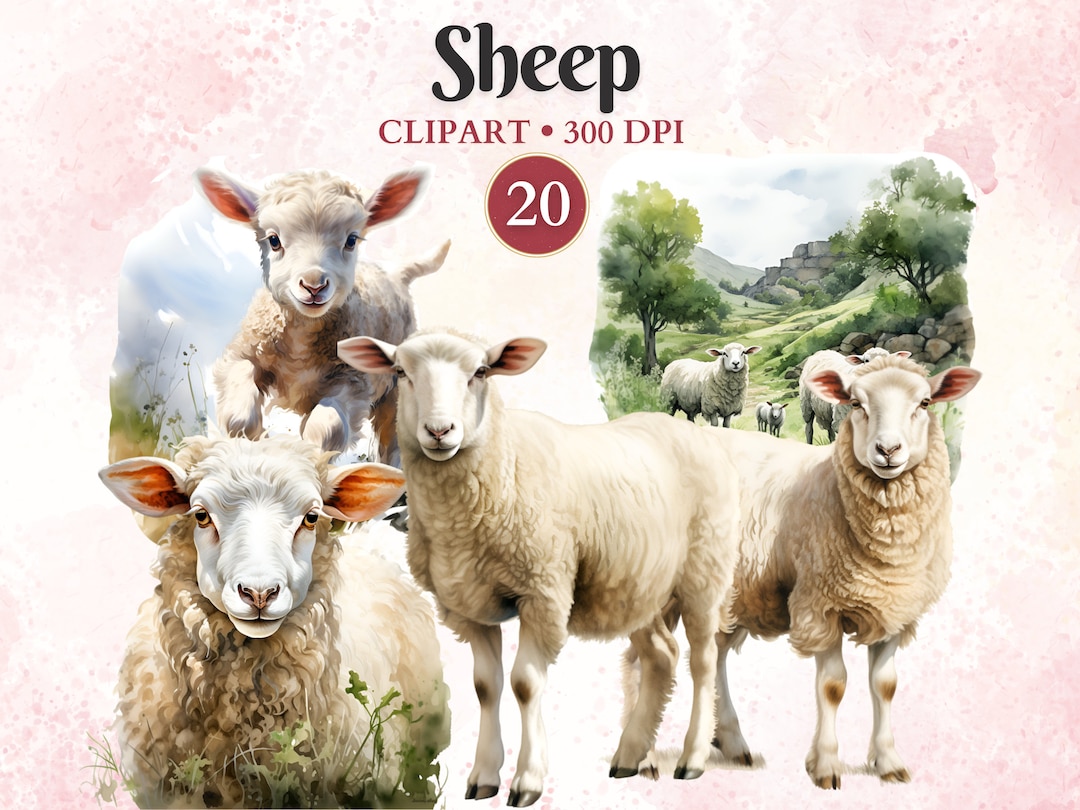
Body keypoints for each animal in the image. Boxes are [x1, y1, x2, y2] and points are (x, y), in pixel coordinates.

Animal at [196, 165, 450, 464]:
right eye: (274, 240)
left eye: (351, 240)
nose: (313, 285)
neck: (300, 345)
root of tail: (396, 273)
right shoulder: (245, 352)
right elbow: (239, 416)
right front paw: (254, 441)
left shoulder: (352, 380)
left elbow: (327, 427)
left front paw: (307, 457)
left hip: (394, 387)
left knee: (394, 441)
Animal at [338, 328, 742, 807]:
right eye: (401, 372)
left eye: (480, 372)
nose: (439, 431)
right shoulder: (468, 606)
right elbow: (486, 686)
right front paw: (483, 777)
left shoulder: (543, 591)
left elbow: (525, 684)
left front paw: (528, 780)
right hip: (638, 585)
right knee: (663, 655)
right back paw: (628, 755)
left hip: (704, 573)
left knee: (703, 661)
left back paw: (692, 758)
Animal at [673, 354, 980, 789]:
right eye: (855, 403)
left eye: (924, 403)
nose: (888, 450)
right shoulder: (821, 605)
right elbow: (833, 686)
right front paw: (826, 765)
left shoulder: (895, 607)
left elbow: (885, 686)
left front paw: (888, 762)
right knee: (698, 662)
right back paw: (694, 755)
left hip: (740, 592)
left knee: (715, 658)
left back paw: (731, 741)